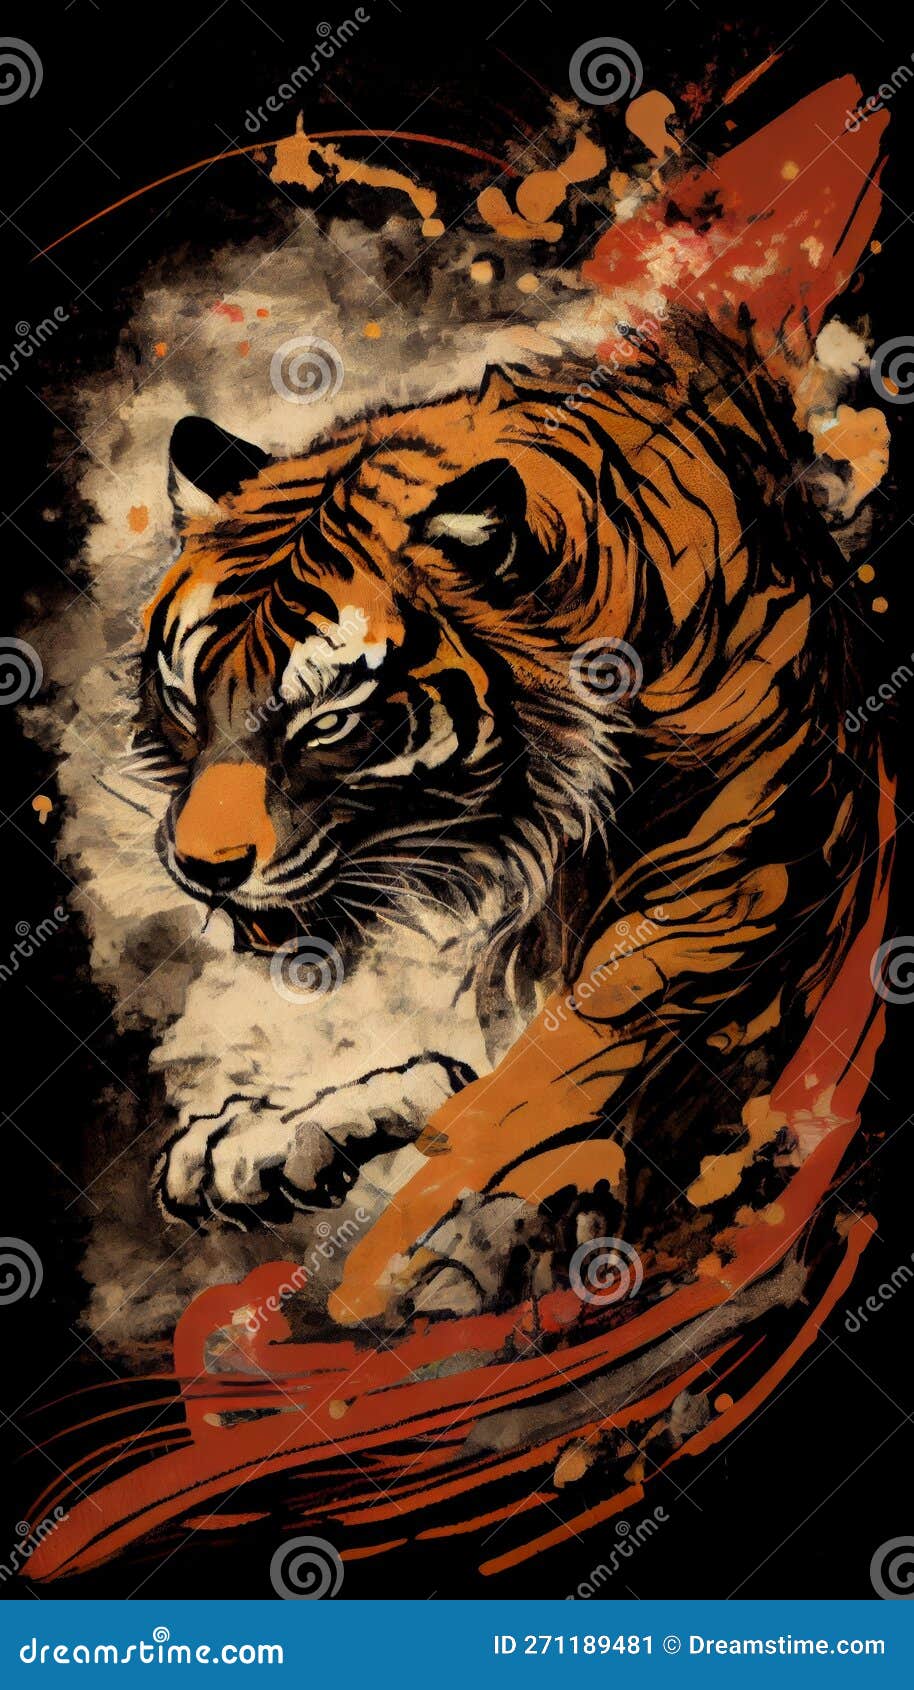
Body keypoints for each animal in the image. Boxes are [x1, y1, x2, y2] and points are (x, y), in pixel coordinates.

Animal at [135, 309, 883, 1324]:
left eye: (327, 722)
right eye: (186, 701)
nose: (203, 868)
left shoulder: (728, 891)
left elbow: (558, 1059)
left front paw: (464, 1251)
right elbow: (468, 1074)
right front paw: (275, 1134)